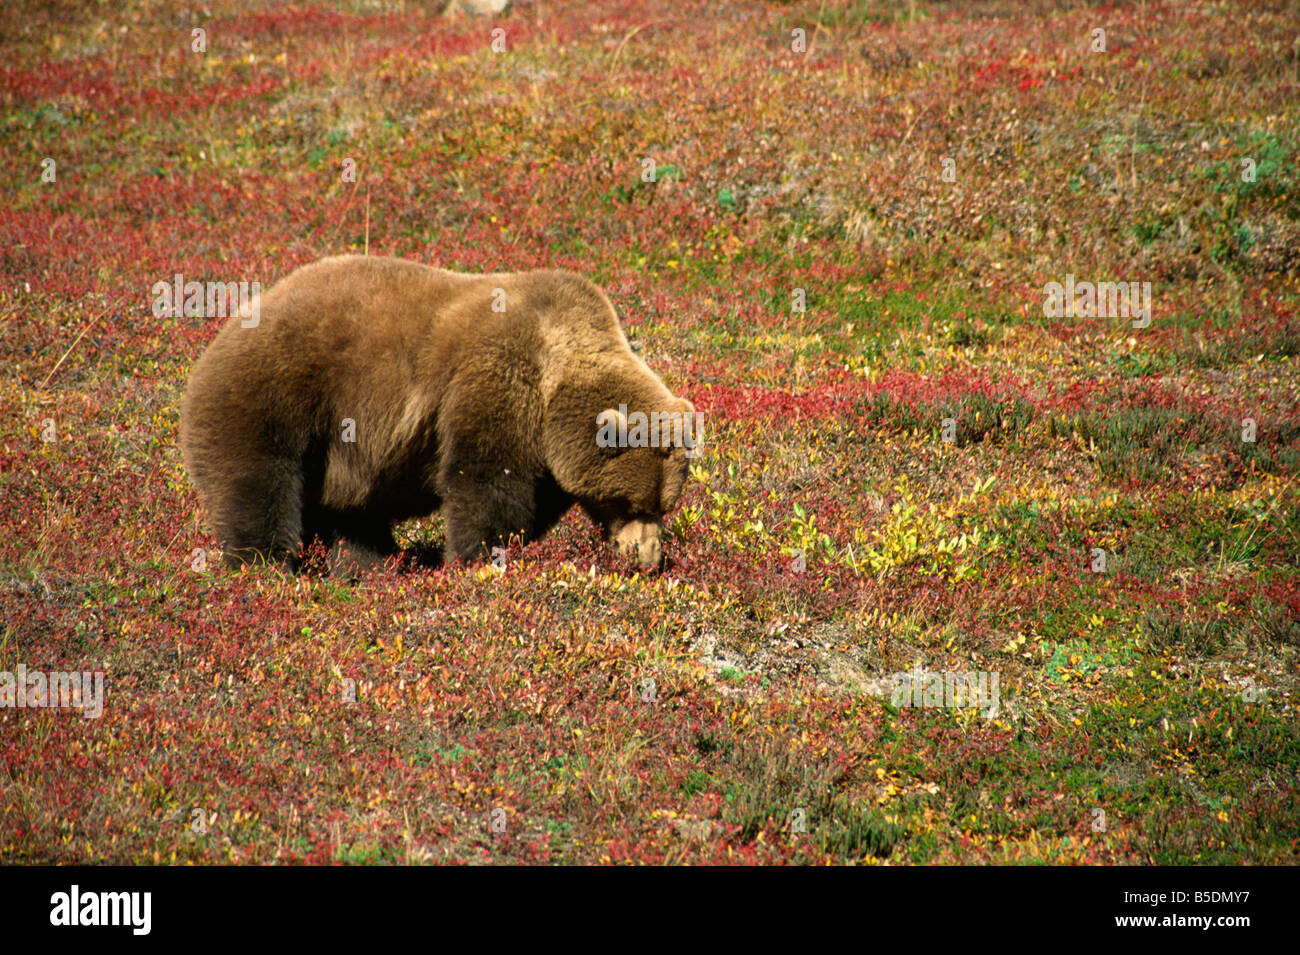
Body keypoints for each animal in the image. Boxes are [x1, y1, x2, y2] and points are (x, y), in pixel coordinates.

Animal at [179, 254, 698, 575]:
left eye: (664, 505)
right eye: (632, 503)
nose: (648, 558)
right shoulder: (493, 380)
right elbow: (486, 484)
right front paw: (478, 560)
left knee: (355, 516)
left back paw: (370, 567)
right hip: (273, 395)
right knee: (259, 486)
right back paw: (266, 566)